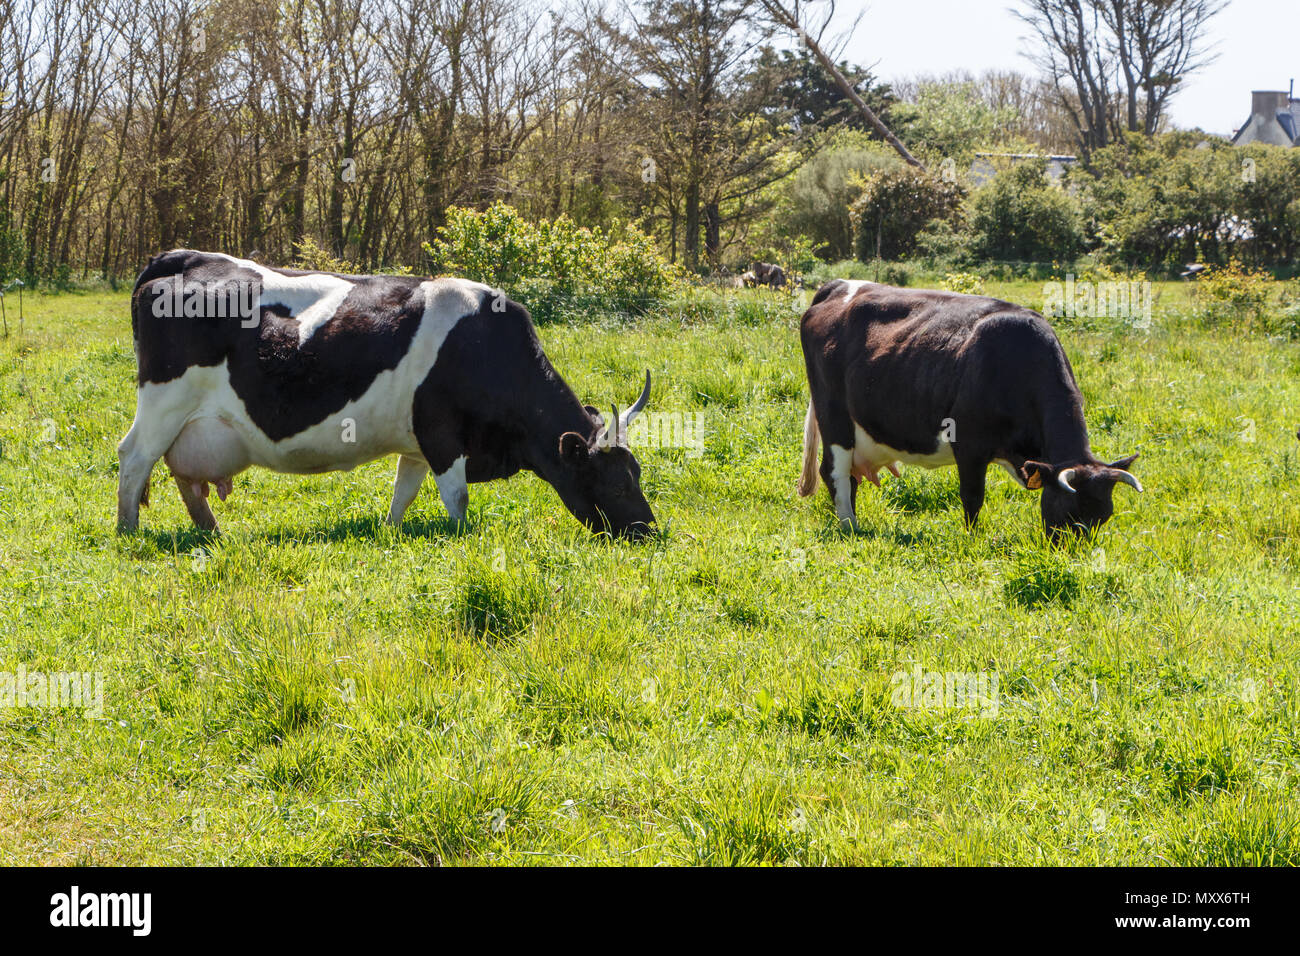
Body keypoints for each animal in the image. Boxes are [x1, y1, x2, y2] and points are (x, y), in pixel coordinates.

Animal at [116, 250, 657, 539]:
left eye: (637, 475)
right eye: (617, 484)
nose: (649, 531)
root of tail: (185, 259)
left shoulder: (418, 444)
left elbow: (403, 493)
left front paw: (391, 534)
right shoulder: (443, 436)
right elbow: (457, 501)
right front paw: (461, 539)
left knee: (183, 475)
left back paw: (212, 532)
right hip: (164, 403)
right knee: (134, 458)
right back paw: (129, 532)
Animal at [797, 280, 1143, 540]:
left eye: (1104, 516)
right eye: (1068, 512)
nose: (1071, 560)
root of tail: (838, 286)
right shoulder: (969, 445)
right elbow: (973, 497)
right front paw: (973, 540)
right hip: (834, 418)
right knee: (835, 473)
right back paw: (851, 527)